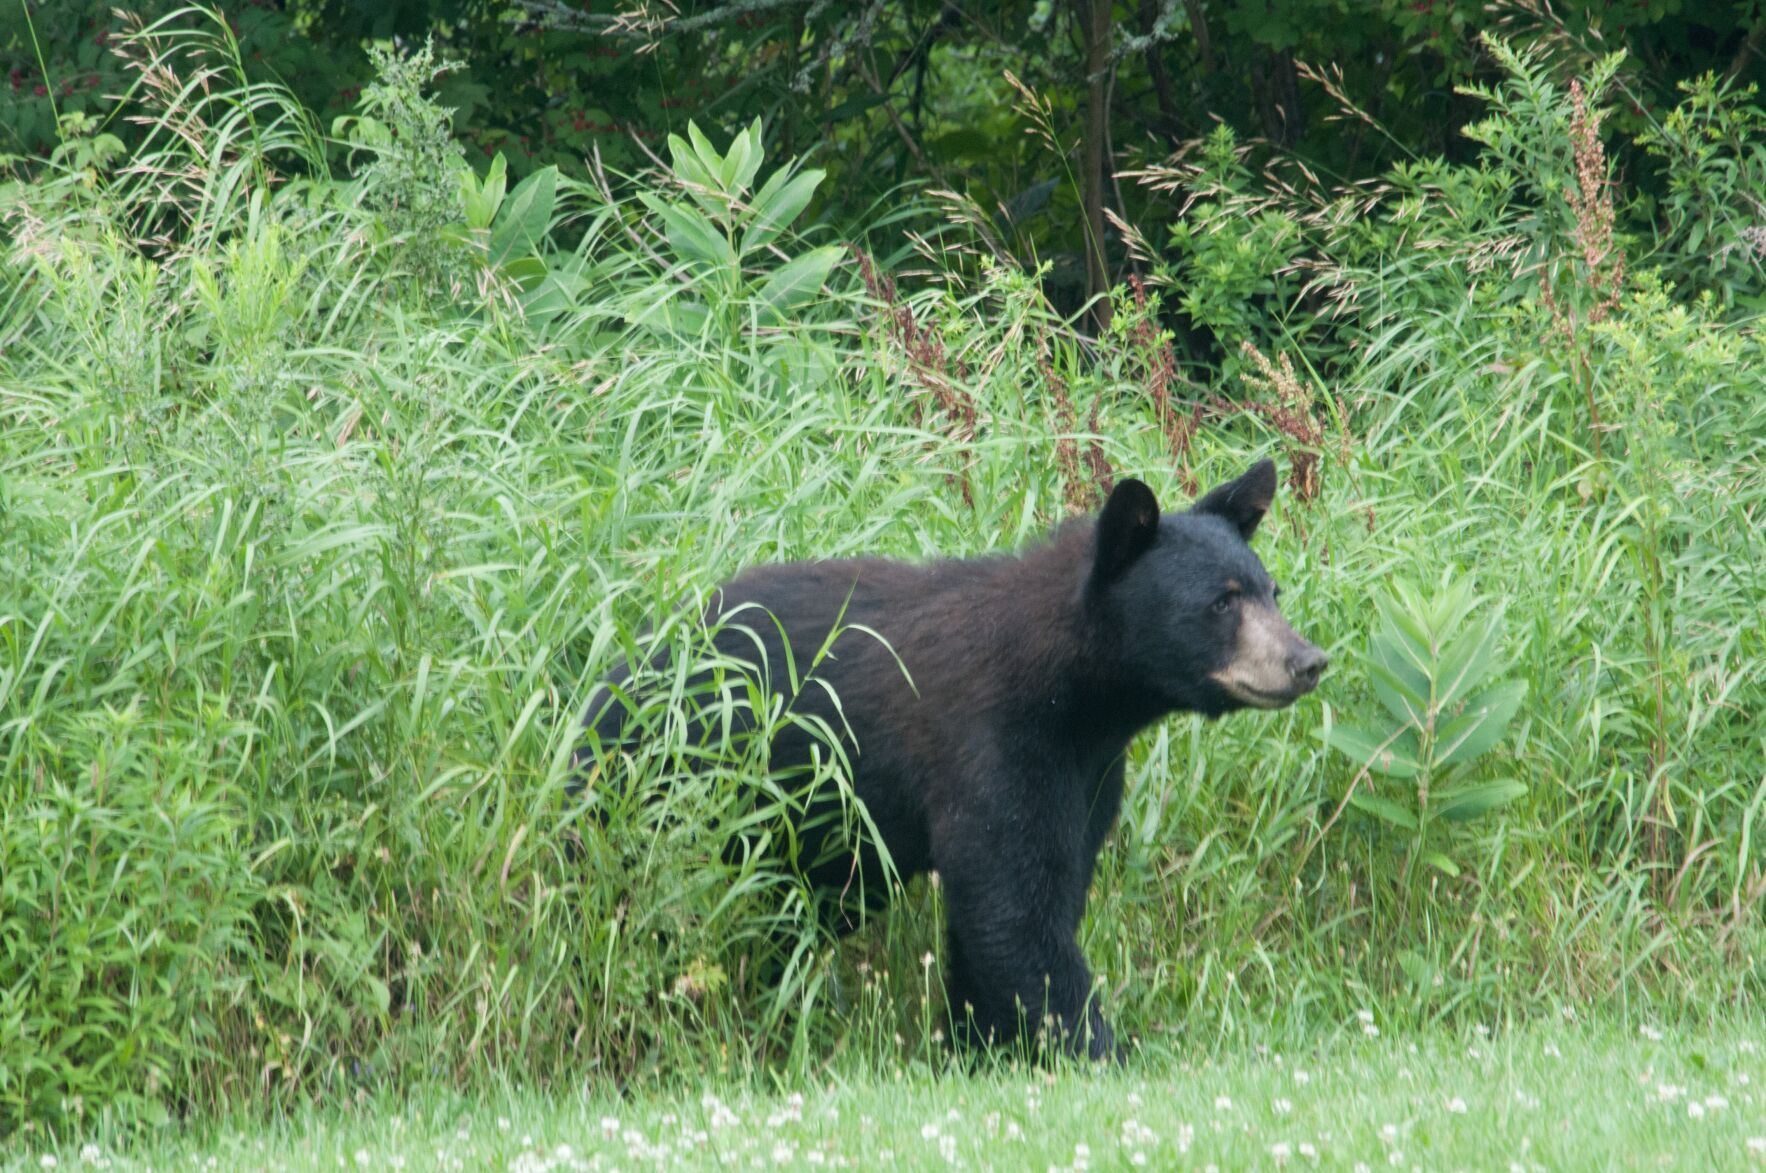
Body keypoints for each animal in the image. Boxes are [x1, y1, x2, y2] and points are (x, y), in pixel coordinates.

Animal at [576, 459, 1326, 1060]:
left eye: (1271, 592)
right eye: (1222, 601)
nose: (1307, 660)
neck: (1075, 693)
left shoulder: (1087, 773)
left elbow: (1025, 898)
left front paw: (980, 1046)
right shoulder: (990, 739)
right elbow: (1014, 906)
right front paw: (1097, 1052)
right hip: (660, 771)